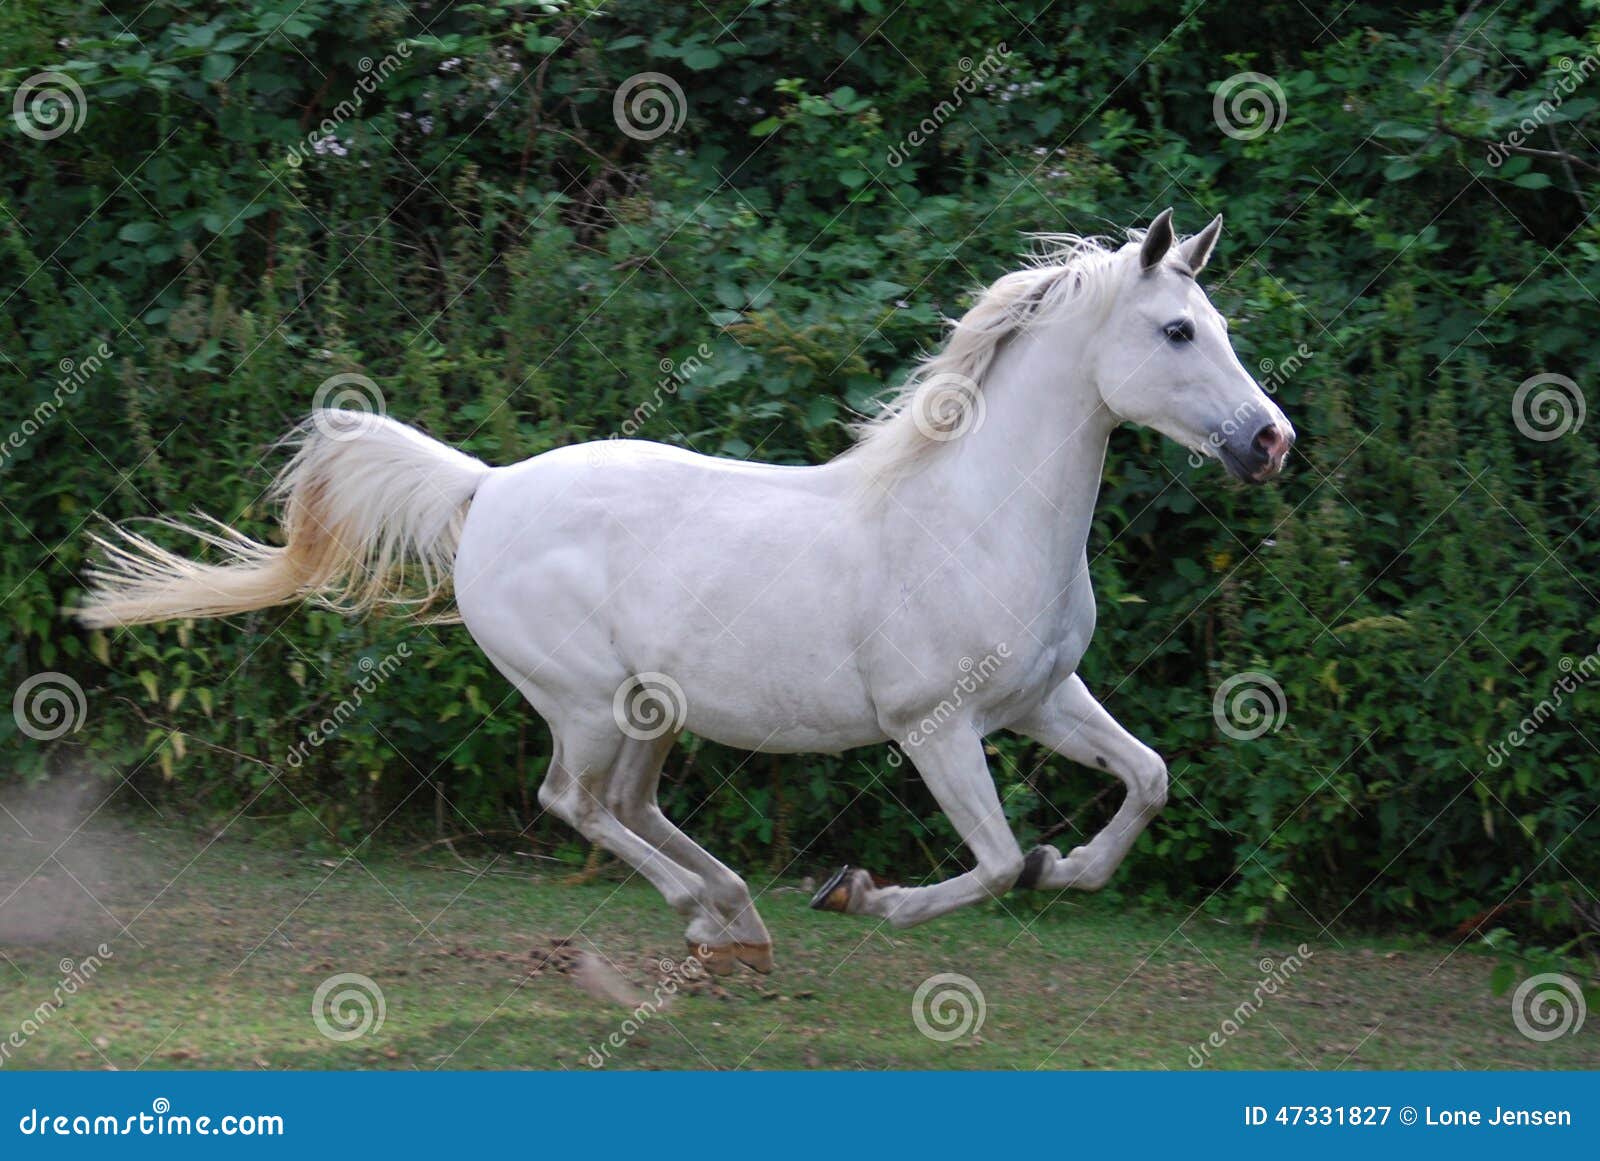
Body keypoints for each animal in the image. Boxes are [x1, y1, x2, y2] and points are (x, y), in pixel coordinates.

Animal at [77, 210, 1295, 975]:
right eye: (1177, 330)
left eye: (1223, 328)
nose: (1270, 442)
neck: (973, 514)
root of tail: (487, 487)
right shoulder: (936, 728)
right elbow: (994, 866)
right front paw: (868, 894)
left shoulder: (1044, 699)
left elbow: (1149, 781)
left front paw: (1071, 867)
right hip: (585, 702)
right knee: (574, 804)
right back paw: (720, 914)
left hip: (654, 709)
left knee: (628, 806)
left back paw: (734, 918)